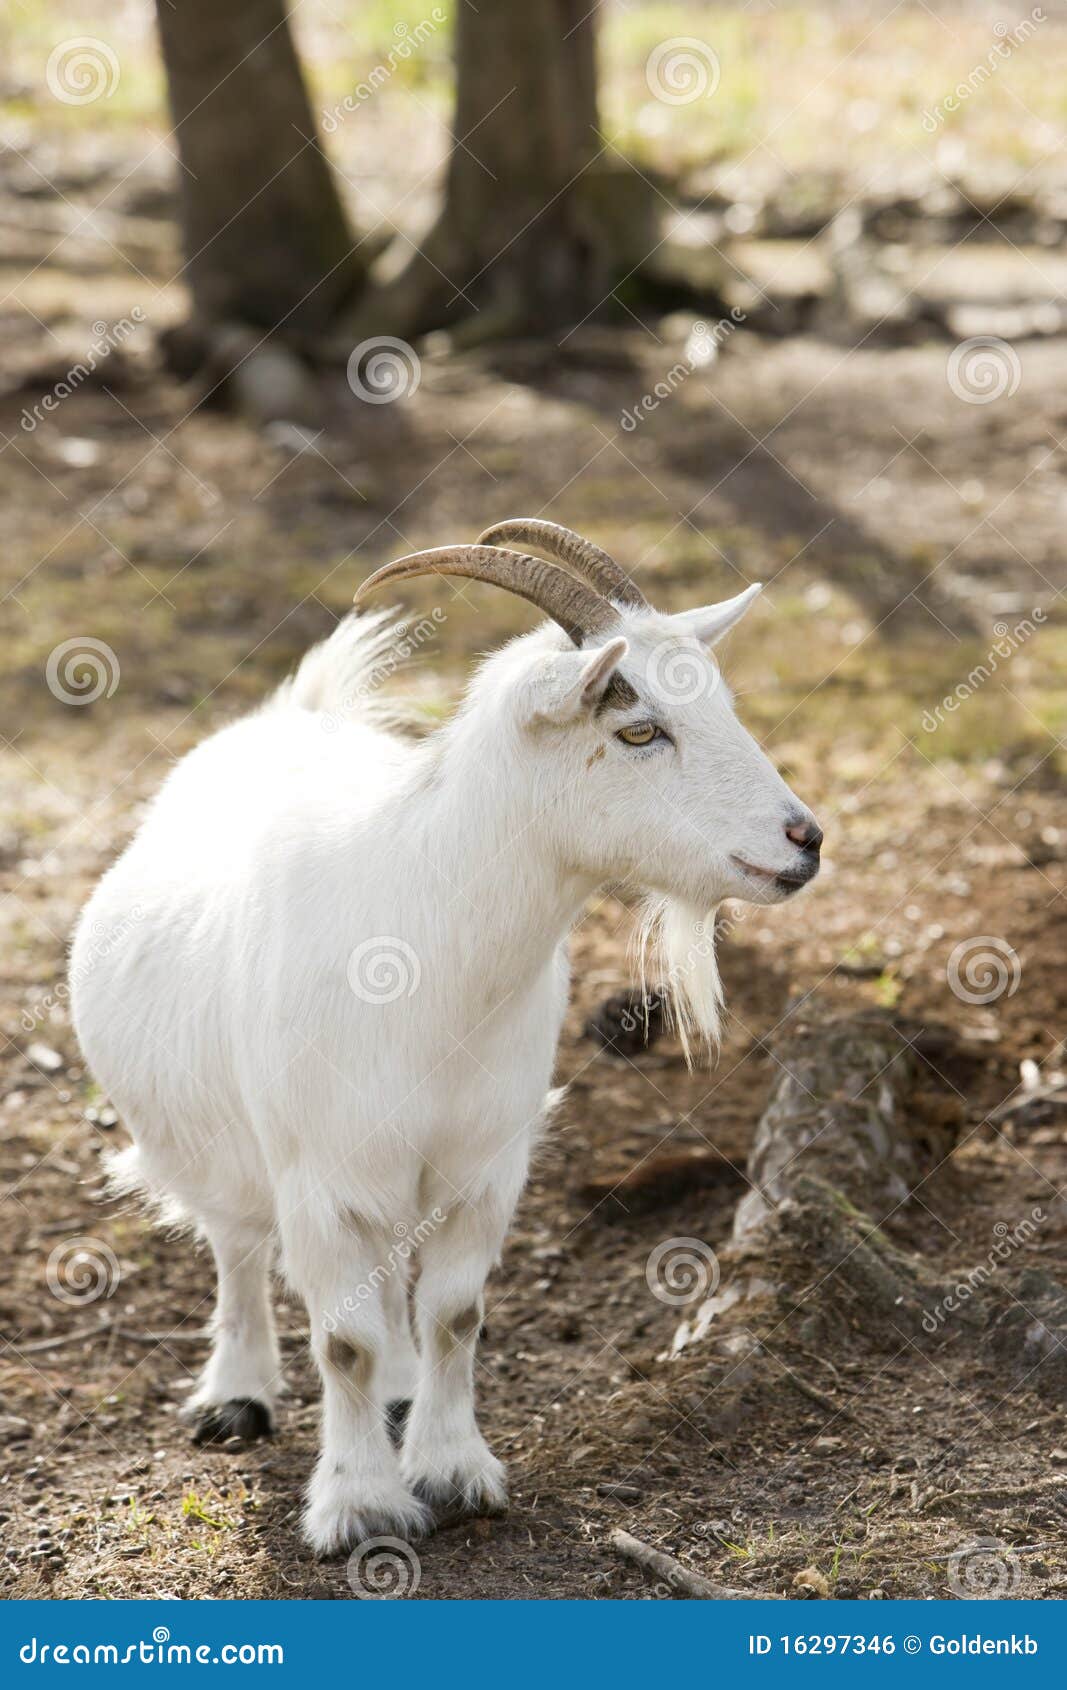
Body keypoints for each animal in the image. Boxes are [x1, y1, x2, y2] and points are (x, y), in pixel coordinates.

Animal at [70, 520, 822, 1556]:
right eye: (638, 730)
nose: (803, 840)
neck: (426, 959)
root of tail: (299, 716)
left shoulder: (483, 1163)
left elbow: (455, 1316)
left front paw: (452, 1471)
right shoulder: (318, 1177)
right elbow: (339, 1341)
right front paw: (359, 1505)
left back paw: (394, 1396)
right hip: (220, 1149)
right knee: (237, 1251)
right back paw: (238, 1395)